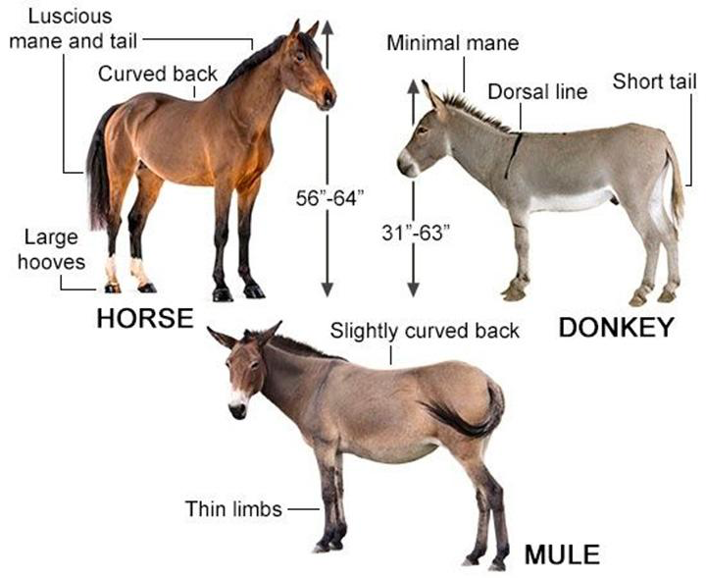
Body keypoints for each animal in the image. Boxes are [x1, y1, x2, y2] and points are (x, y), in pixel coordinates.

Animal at [86, 20, 336, 301]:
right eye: (300, 56)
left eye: (320, 56)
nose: (329, 97)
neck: (241, 119)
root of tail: (124, 107)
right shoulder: (223, 184)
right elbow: (222, 233)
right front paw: (221, 287)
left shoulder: (251, 185)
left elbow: (244, 232)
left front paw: (250, 284)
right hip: (121, 173)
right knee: (114, 220)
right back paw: (112, 283)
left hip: (151, 178)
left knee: (135, 221)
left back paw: (144, 282)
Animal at [207, 321, 510, 570]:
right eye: (228, 363)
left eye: (255, 364)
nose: (236, 409)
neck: (313, 383)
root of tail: (486, 379)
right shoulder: (337, 450)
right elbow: (340, 490)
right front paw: (338, 538)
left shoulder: (323, 447)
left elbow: (327, 492)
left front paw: (323, 541)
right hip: (477, 450)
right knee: (481, 497)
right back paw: (474, 555)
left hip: (465, 452)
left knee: (494, 492)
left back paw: (498, 558)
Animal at [397, 80, 685, 307]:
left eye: (422, 130)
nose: (400, 164)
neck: (498, 154)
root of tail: (661, 136)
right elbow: (523, 245)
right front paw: (518, 283)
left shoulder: (518, 208)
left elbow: (521, 245)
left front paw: (517, 287)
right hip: (653, 197)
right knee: (670, 234)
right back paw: (669, 290)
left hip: (634, 199)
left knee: (652, 239)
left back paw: (642, 292)